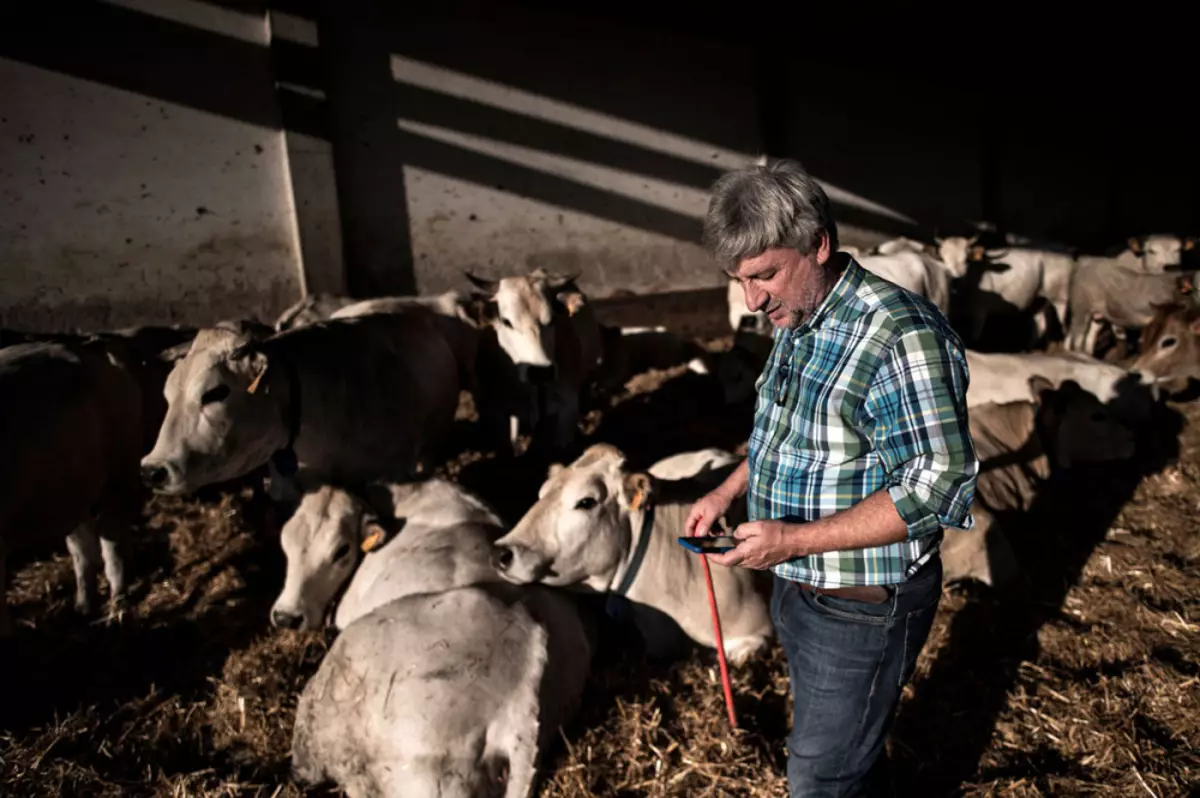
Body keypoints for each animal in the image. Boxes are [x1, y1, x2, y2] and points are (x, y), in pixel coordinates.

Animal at [0, 340, 144, 633]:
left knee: (110, 544)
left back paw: (118, 610)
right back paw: (82, 609)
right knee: (84, 550)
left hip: (119, 470)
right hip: (76, 493)